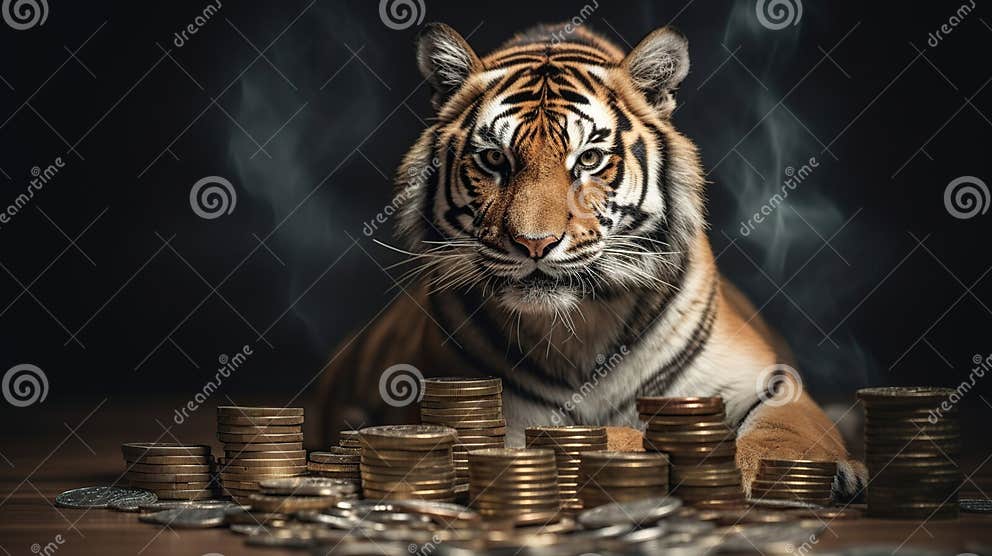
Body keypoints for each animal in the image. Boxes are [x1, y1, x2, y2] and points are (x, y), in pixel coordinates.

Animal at [318, 22, 867, 499]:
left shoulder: (766, 379)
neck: (582, 324)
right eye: (494, 159)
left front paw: (785, 467)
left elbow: (784, 425)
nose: (534, 244)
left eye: (588, 159)